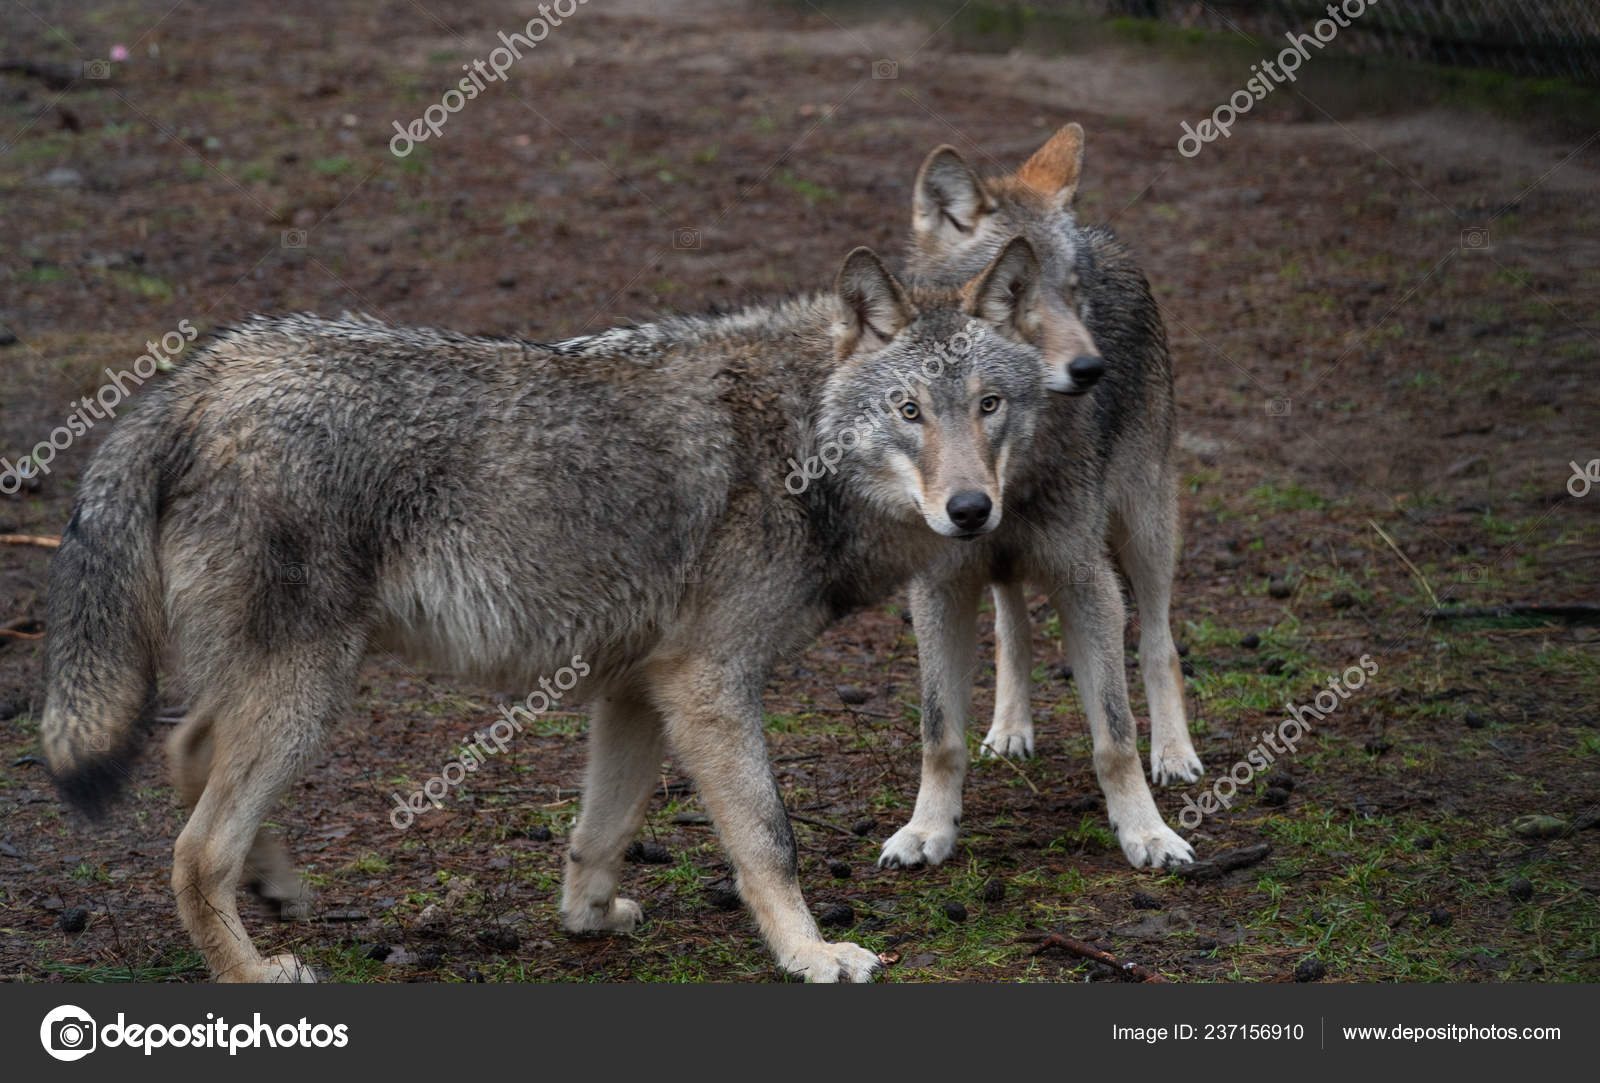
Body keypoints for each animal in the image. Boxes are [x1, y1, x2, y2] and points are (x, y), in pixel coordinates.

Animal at [41, 241, 1052, 983]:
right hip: (311, 694)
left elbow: (600, 832)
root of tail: (198, 375)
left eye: (990, 405)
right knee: (192, 849)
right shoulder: (709, 685)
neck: (799, 437)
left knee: (185, 752)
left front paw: (588, 918)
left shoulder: (639, 688)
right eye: (909, 411)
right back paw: (252, 973)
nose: (972, 511)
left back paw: (276, 886)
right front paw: (810, 953)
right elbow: (770, 840)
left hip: (287, 687)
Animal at [877, 125, 1203, 871]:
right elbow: (939, 732)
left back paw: (1176, 754)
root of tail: (1110, 235)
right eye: (1015, 294)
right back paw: (1009, 728)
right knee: (1012, 627)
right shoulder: (938, 588)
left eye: (1073, 290)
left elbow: (1115, 733)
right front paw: (927, 830)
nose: (1091, 368)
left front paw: (1147, 833)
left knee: (1160, 642)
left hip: (1144, 531)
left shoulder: (1087, 581)